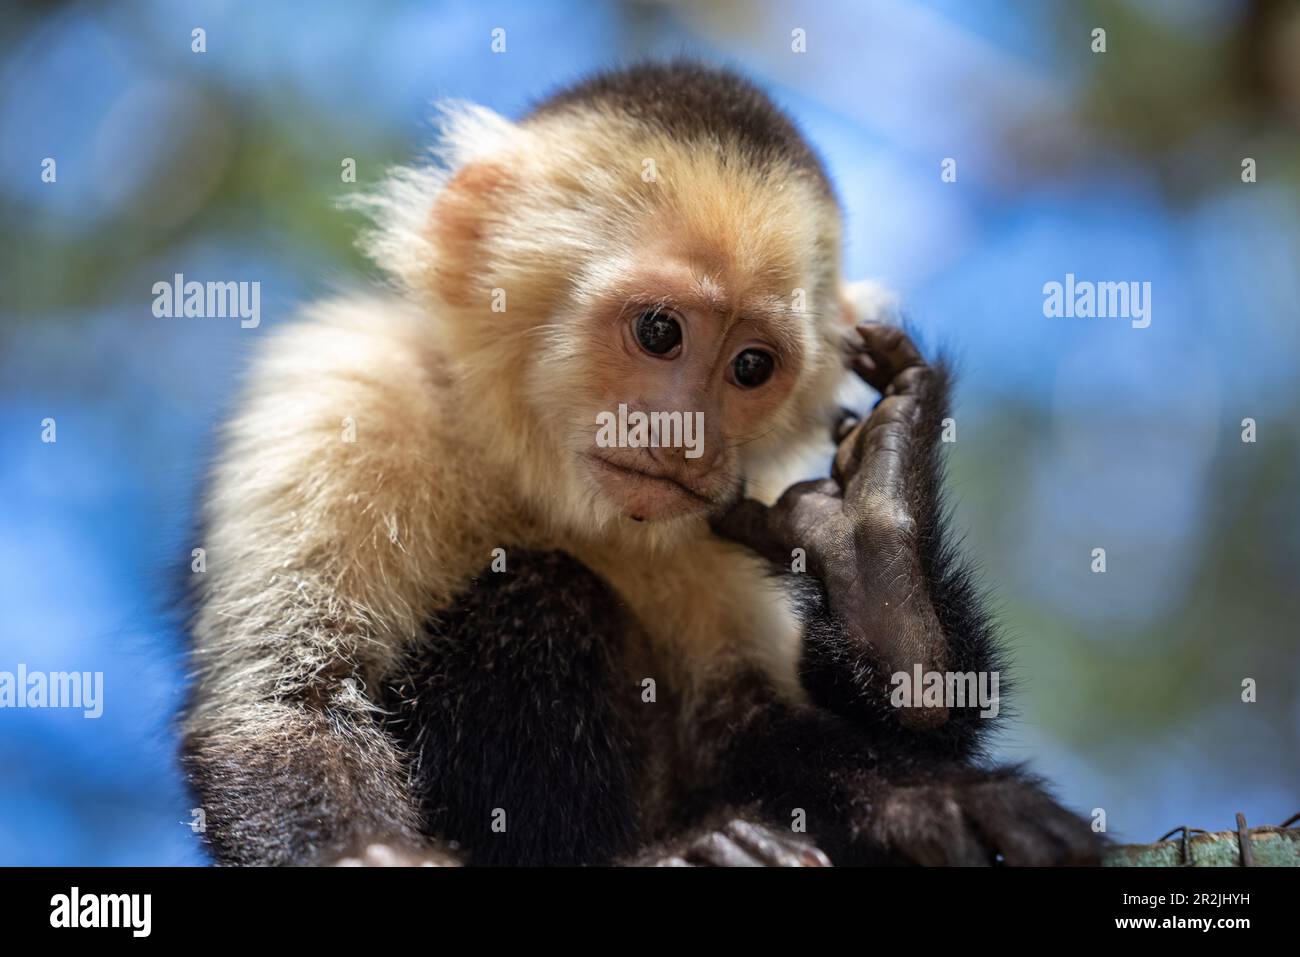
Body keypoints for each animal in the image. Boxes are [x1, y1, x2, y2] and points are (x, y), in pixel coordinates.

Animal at [182, 60, 1102, 867]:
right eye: (659, 331)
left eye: (752, 366)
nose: (689, 437)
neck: (537, 479)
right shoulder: (348, 390)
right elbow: (286, 704)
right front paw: (370, 855)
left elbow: (751, 730)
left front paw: (875, 559)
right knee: (536, 590)